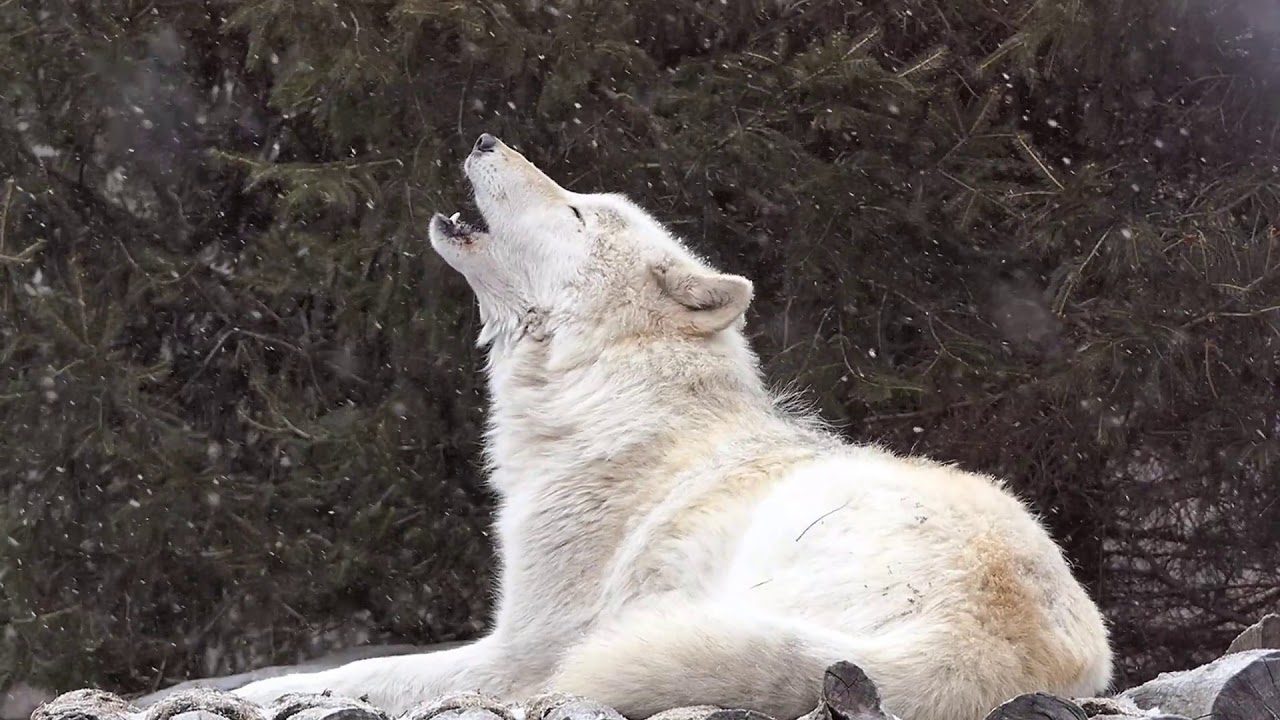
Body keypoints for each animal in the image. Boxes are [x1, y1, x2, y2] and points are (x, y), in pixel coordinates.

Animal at [234, 133, 1113, 720]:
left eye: (577, 212)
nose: (485, 138)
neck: (603, 397)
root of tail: (996, 652)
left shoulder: (521, 646)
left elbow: (367, 673)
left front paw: (266, 687)